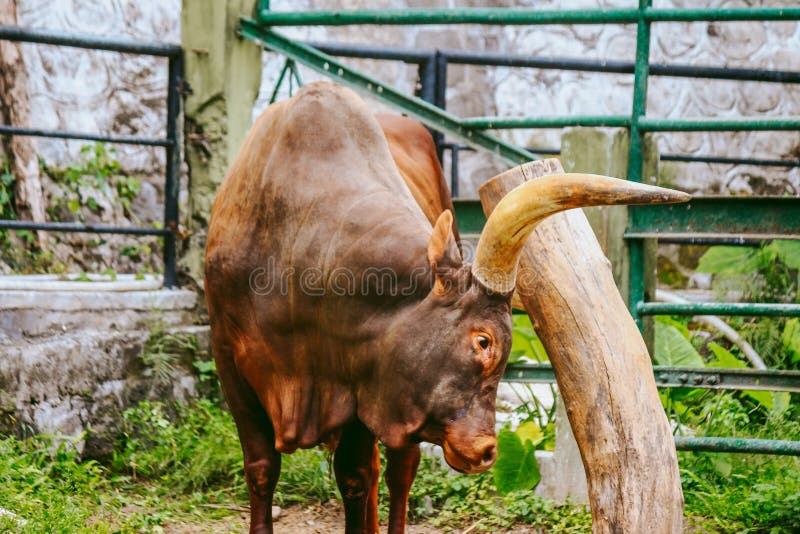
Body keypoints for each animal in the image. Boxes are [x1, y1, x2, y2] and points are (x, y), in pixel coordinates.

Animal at [204, 81, 688, 534]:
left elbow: (355, 477)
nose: (487, 451)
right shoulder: (228, 360)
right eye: (483, 341)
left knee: (397, 473)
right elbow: (262, 470)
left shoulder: (359, 382)